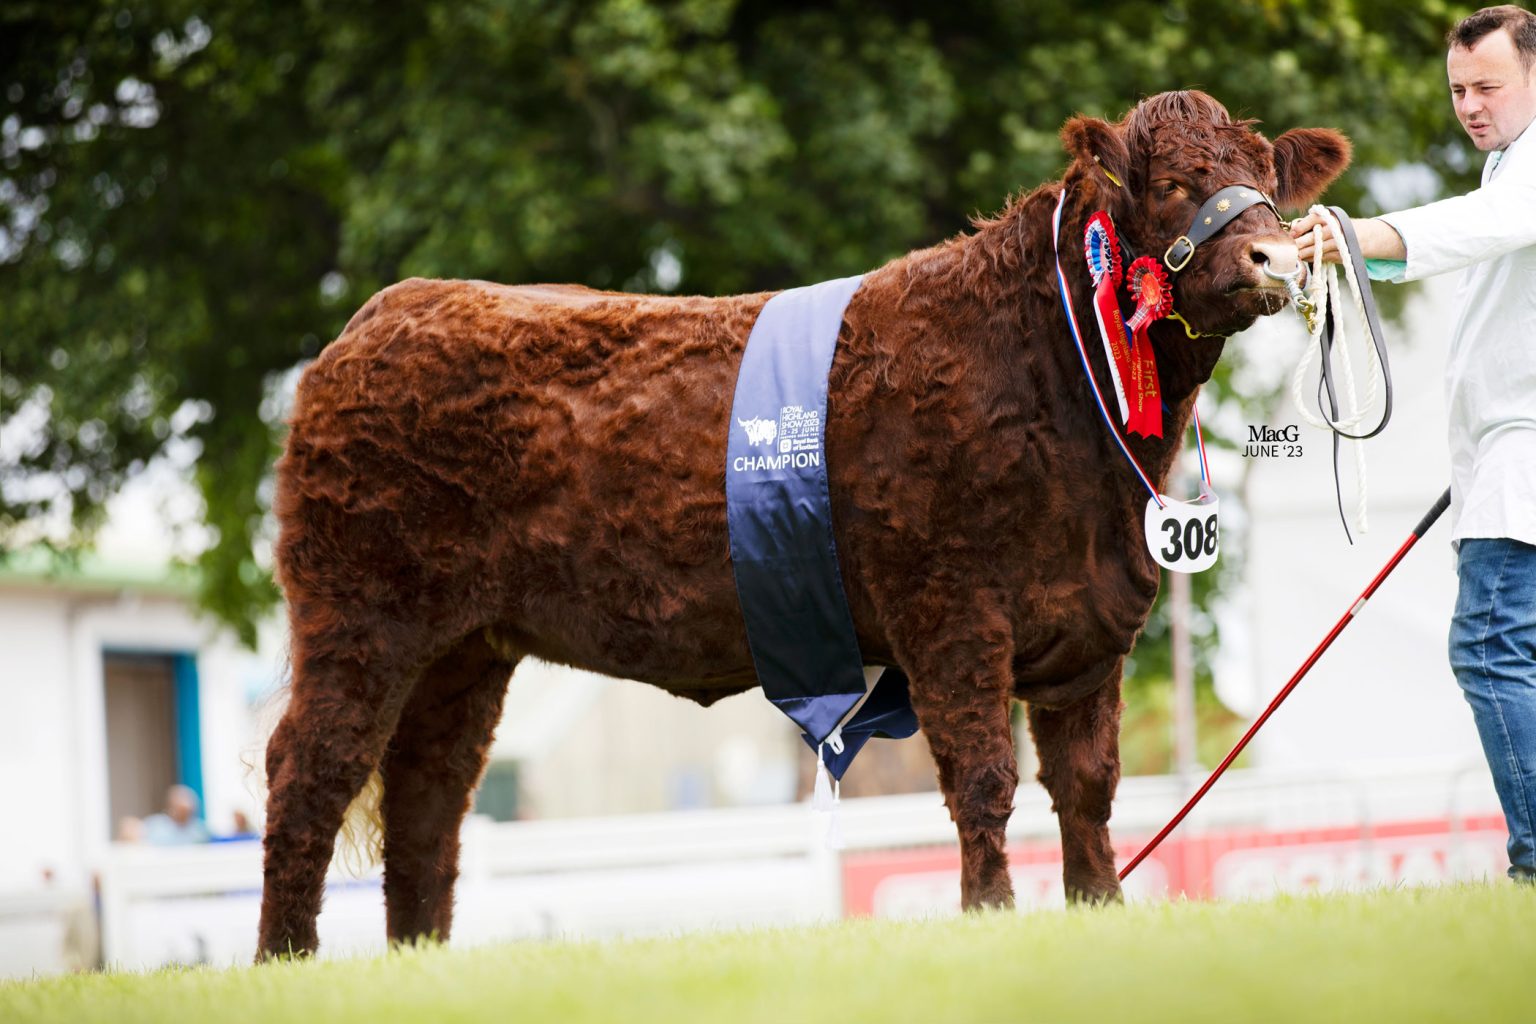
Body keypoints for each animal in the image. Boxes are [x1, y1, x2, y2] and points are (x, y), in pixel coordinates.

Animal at [256, 89, 1350, 959]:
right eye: (1173, 185)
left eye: (1266, 178)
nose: (1274, 255)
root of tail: (384, 315)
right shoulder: (951, 610)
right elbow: (984, 776)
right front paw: (990, 915)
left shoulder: (1089, 627)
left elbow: (1087, 786)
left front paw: (1099, 911)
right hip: (360, 613)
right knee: (311, 769)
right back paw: (285, 959)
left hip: (466, 649)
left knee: (427, 792)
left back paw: (418, 957)